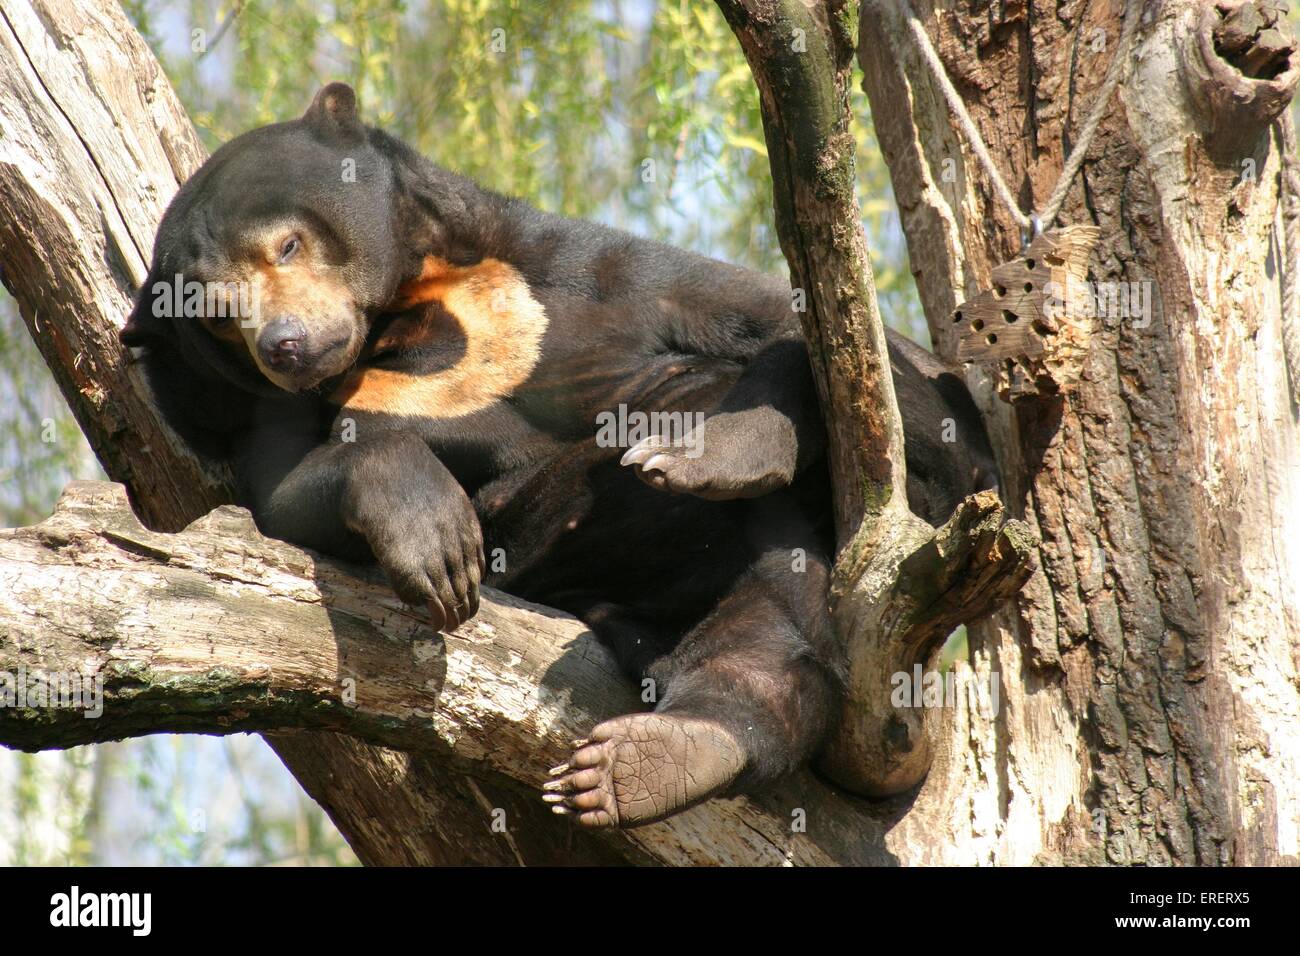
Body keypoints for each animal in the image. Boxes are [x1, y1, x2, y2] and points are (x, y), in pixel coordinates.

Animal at [122, 83, 993, 832]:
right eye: (218, 311)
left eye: (289, 243)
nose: (287, 346)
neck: (409, 306)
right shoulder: (260, 414)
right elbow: (284, 492)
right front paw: (433, 539)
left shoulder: (590, 271)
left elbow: (804, 334)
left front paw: (714, 451)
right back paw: (653, 760)